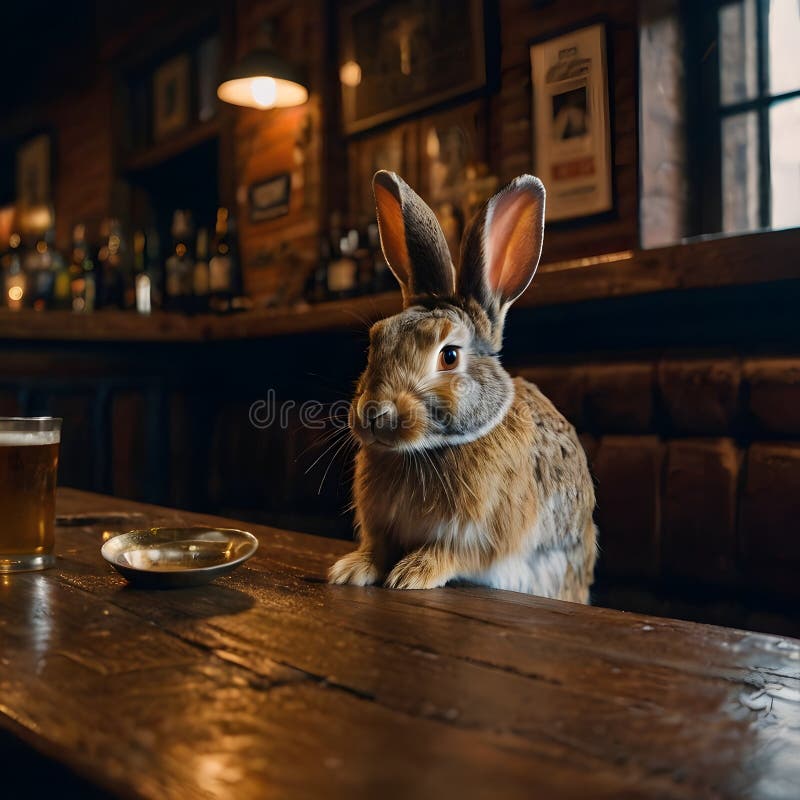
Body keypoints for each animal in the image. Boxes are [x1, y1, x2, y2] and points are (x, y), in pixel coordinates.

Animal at [328, 170, 597, 603]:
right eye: (375, 341)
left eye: (450, 356)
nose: (374, 414)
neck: (425, 451)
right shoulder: (381, 527)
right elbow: (377, 548)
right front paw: (351, 569)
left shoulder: (481, 532)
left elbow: (450, 552)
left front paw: (411, 574)